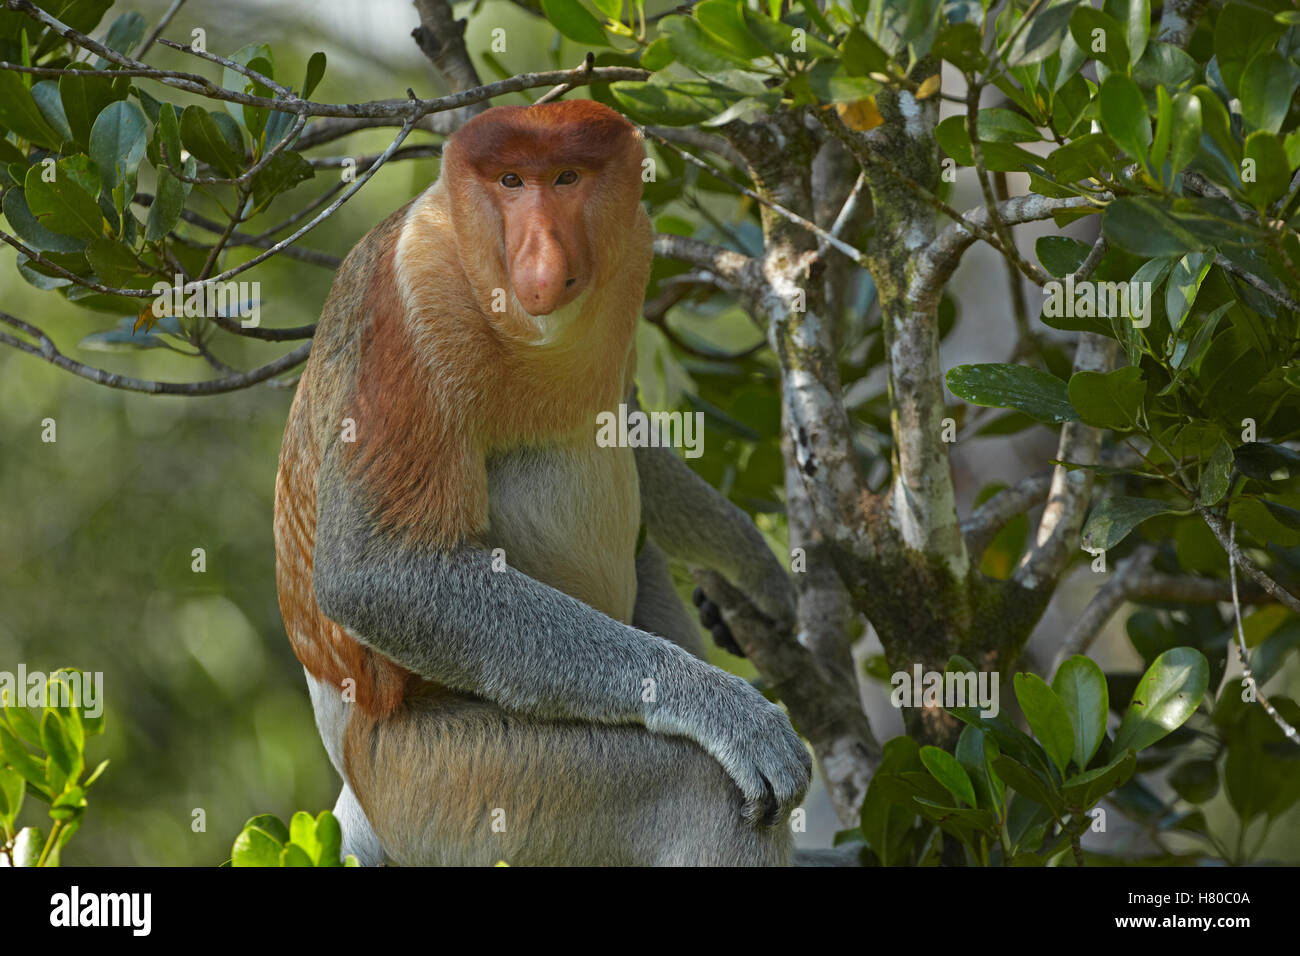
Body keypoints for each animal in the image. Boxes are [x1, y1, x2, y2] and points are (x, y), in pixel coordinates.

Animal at [273, 99, 810, 866]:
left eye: (566, 178)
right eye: (510, 182)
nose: (543, 262)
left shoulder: (634, 247)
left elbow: (626, 421)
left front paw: (754, 571)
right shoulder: (412, 305)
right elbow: (375, 574)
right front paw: (730, 711)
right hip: (439, 782)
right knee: (701, 790)